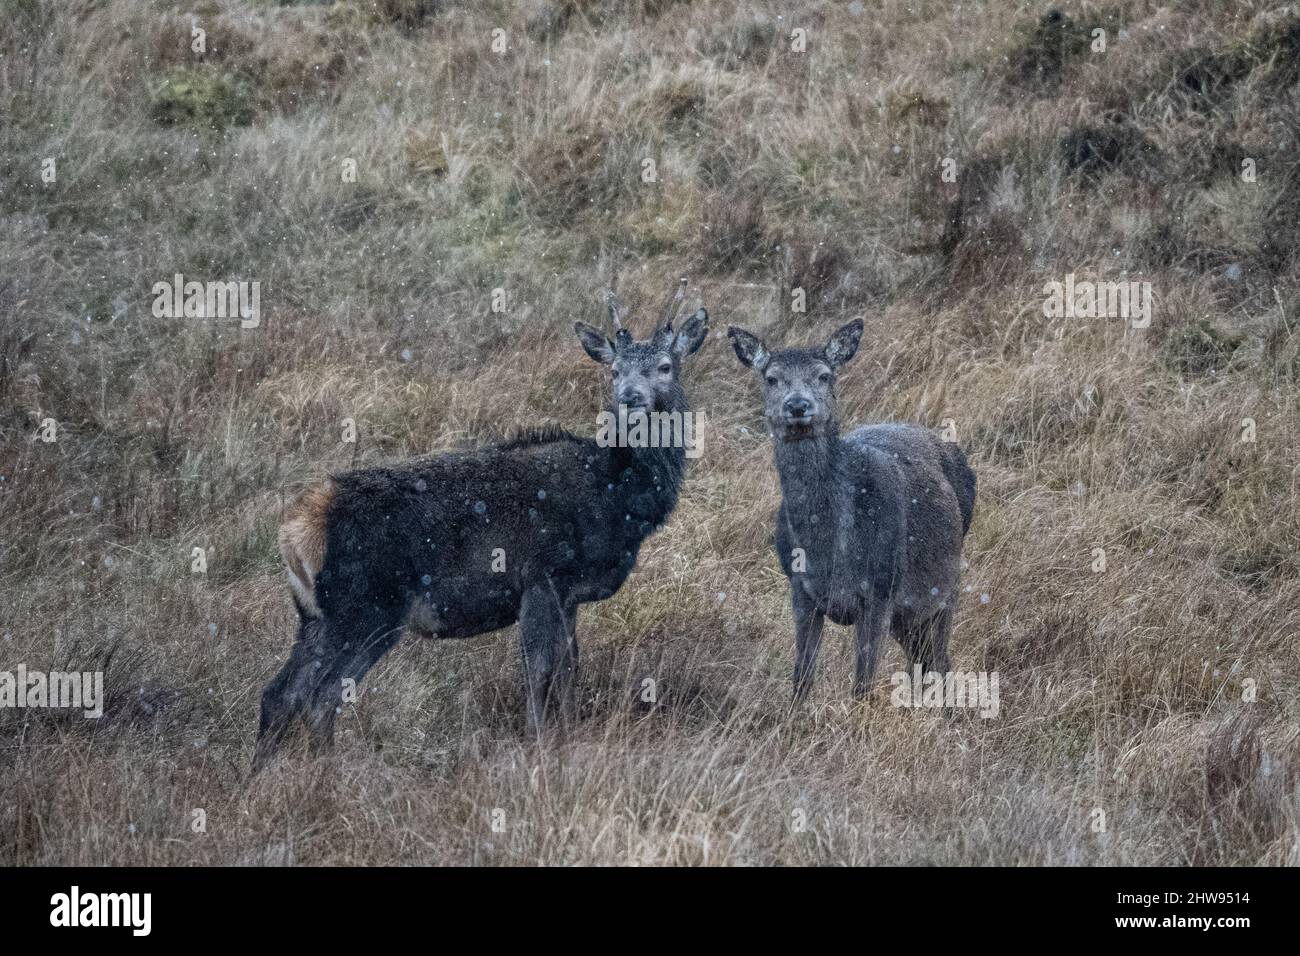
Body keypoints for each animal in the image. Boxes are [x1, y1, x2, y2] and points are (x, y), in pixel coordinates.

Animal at [253, 288, 709, 769]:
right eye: (614, 369)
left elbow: (569, 669)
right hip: (368, 606)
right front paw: (537, 744)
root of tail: (298, 528)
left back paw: (259, 776)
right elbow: (539, 670)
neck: (617, 494)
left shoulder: (569, 595)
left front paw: (568, 737)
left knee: (279, 694)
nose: (629, 396)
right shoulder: (543, 576)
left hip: (315, 615)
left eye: (665, 366)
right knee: (320, 698)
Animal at [727, 319, 976, 702]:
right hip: (908, 614)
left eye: (824, 375)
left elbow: (862, 686)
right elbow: (801, 678)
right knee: (922, 661)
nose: (797, 405)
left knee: (941, 660)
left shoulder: (880, 590)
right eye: (771, 378)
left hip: (945, 588)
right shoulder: (800, 589)